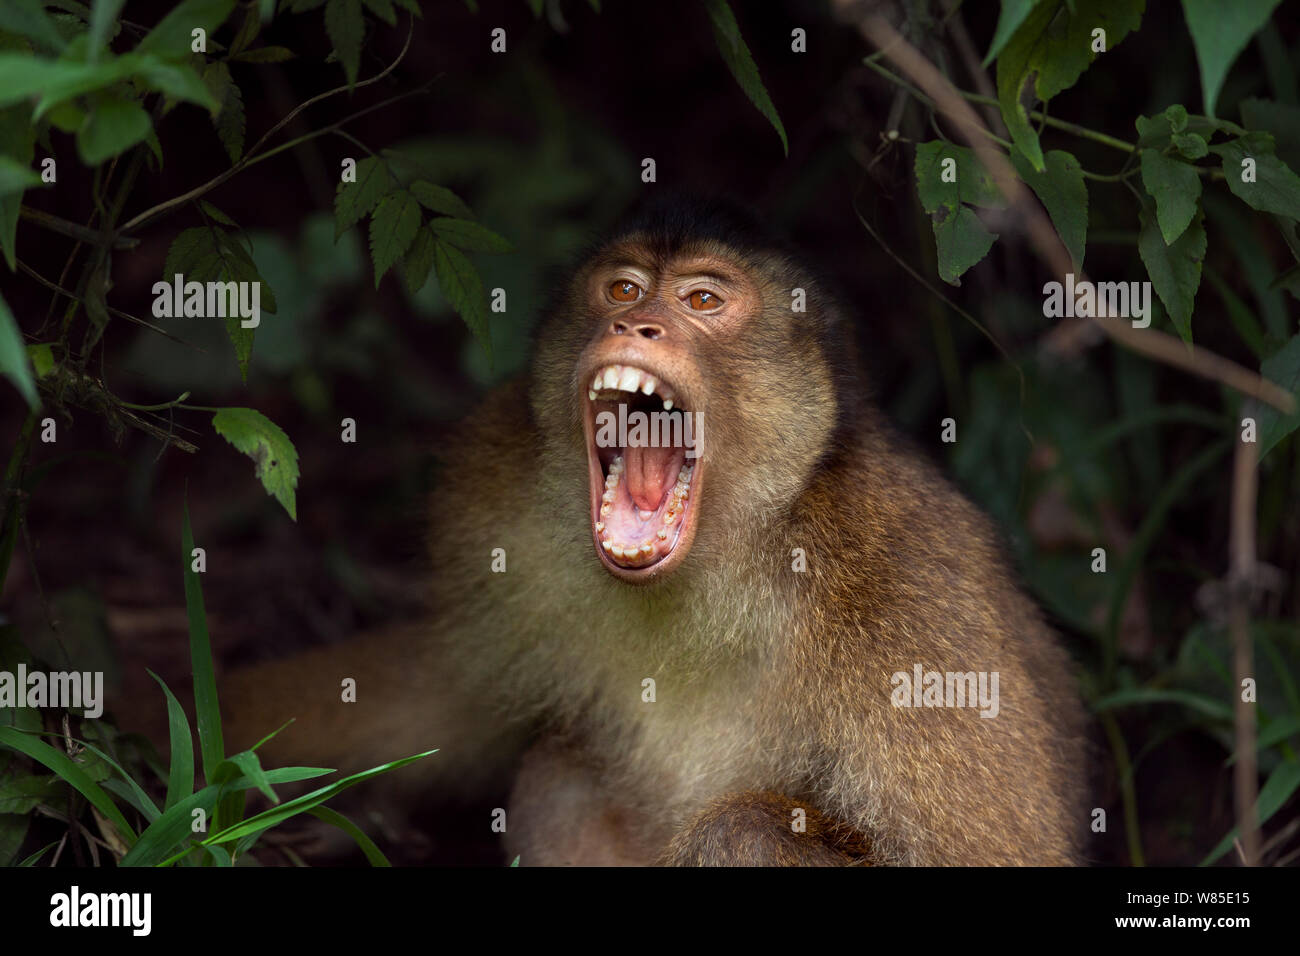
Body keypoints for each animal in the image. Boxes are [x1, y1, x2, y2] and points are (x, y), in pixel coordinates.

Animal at [216, 195, 1087, 866]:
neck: (732, 554)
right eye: (624, 288)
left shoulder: (903, 587)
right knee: (562, 777)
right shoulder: (494, 497)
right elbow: (442, 709)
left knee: (740, 833)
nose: (635, 327)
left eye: (702, 302)